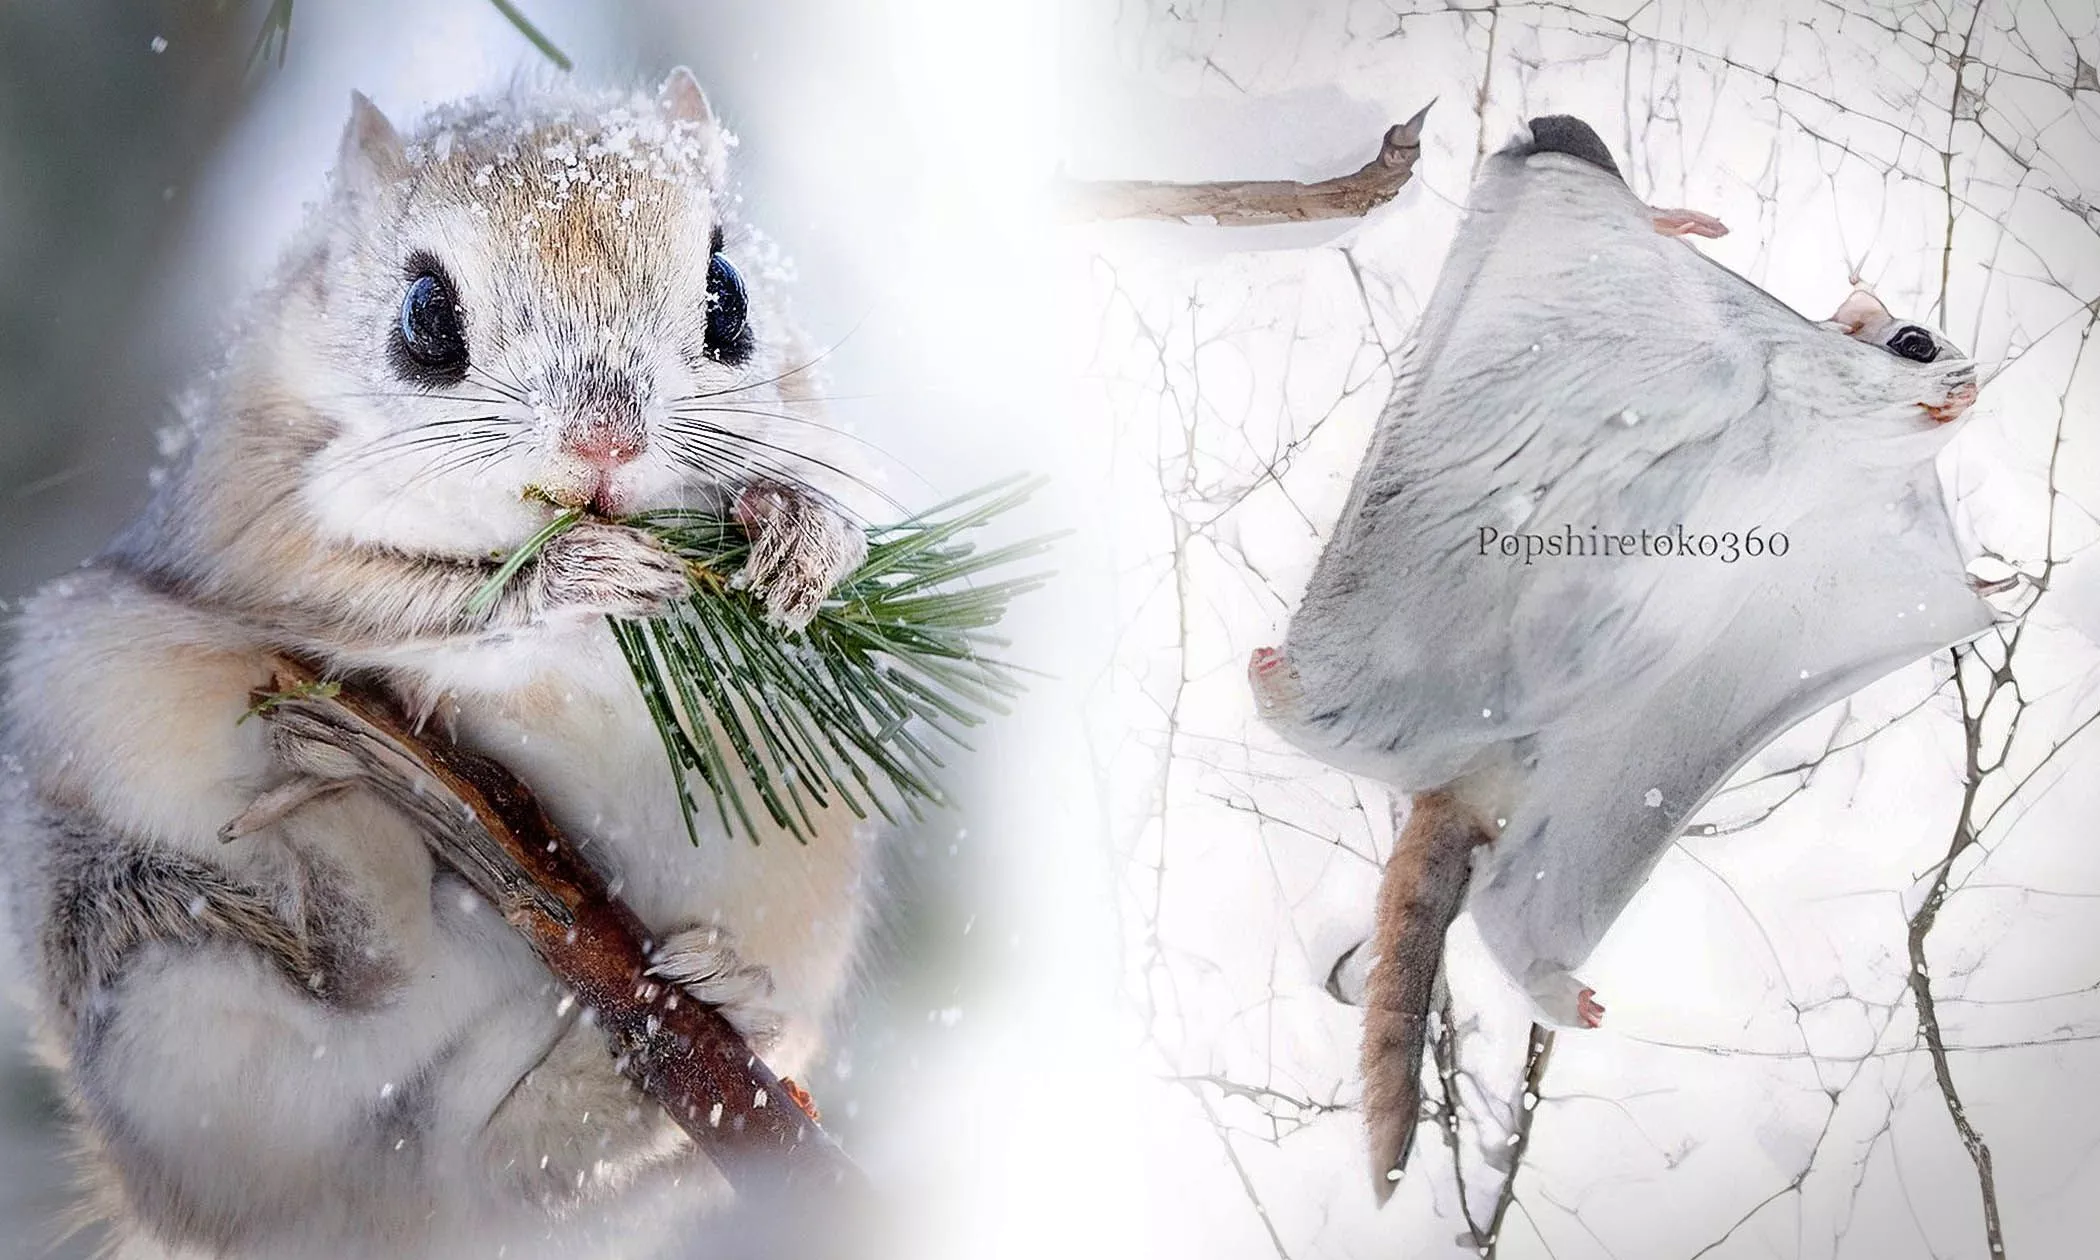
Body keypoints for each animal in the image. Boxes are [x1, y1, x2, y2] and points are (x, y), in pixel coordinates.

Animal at [0, 70, 873, 1259]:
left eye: (728, 294)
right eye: (424, 316)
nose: (605, 445)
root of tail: (370, 1219)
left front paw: (804, 538)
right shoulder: (254, 524)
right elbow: (409, 597)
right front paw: (570, 576)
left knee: (519, 1155)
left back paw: (711, 1016)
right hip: (119, 823)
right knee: (352, 975)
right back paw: (345, 823)